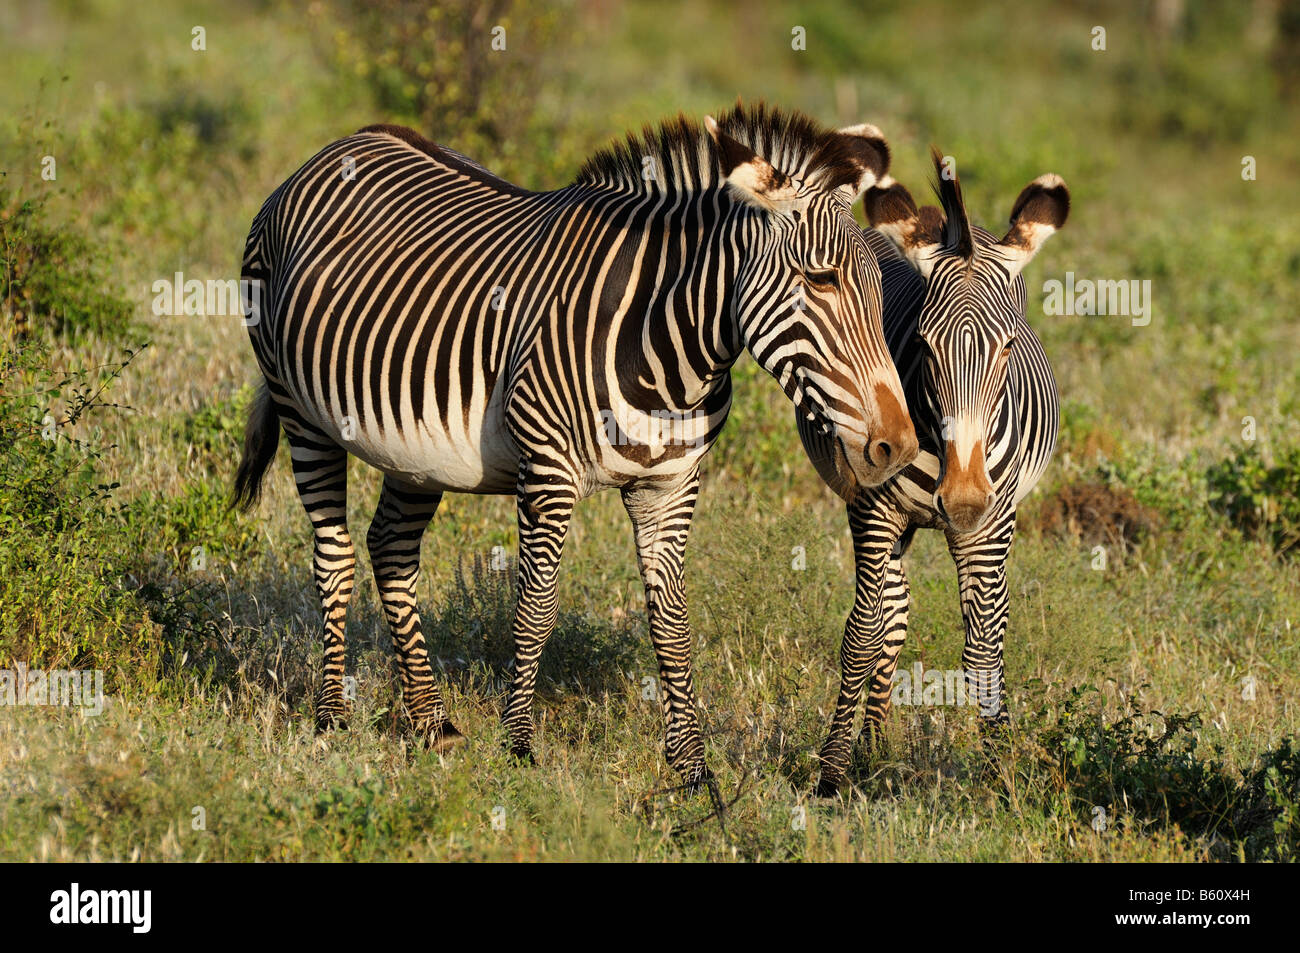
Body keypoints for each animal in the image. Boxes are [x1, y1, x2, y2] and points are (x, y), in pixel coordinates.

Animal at [232, 104, 920, 788]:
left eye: (880, 293)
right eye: (821, 280)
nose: (900, 447)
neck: (669, 353)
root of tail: (337, 146)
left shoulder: (670, 484)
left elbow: (671, 621)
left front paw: (693, 771)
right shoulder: (547, 470)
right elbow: (536, 607)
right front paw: (518, 748)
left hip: (415, 451)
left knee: (392, 549)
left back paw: (431, 723)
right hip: (301, 410)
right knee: (335, 555)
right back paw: (331, 718)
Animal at [797, 150, 1069, 795]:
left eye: (1007, 347)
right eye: (923, 345)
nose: (963, 499)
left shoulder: (991, 526)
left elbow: (985, 649)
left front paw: (999, 777)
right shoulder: (875, 507)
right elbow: (861, 636)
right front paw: (831, 774)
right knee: (889, 615)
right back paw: (871, 750)